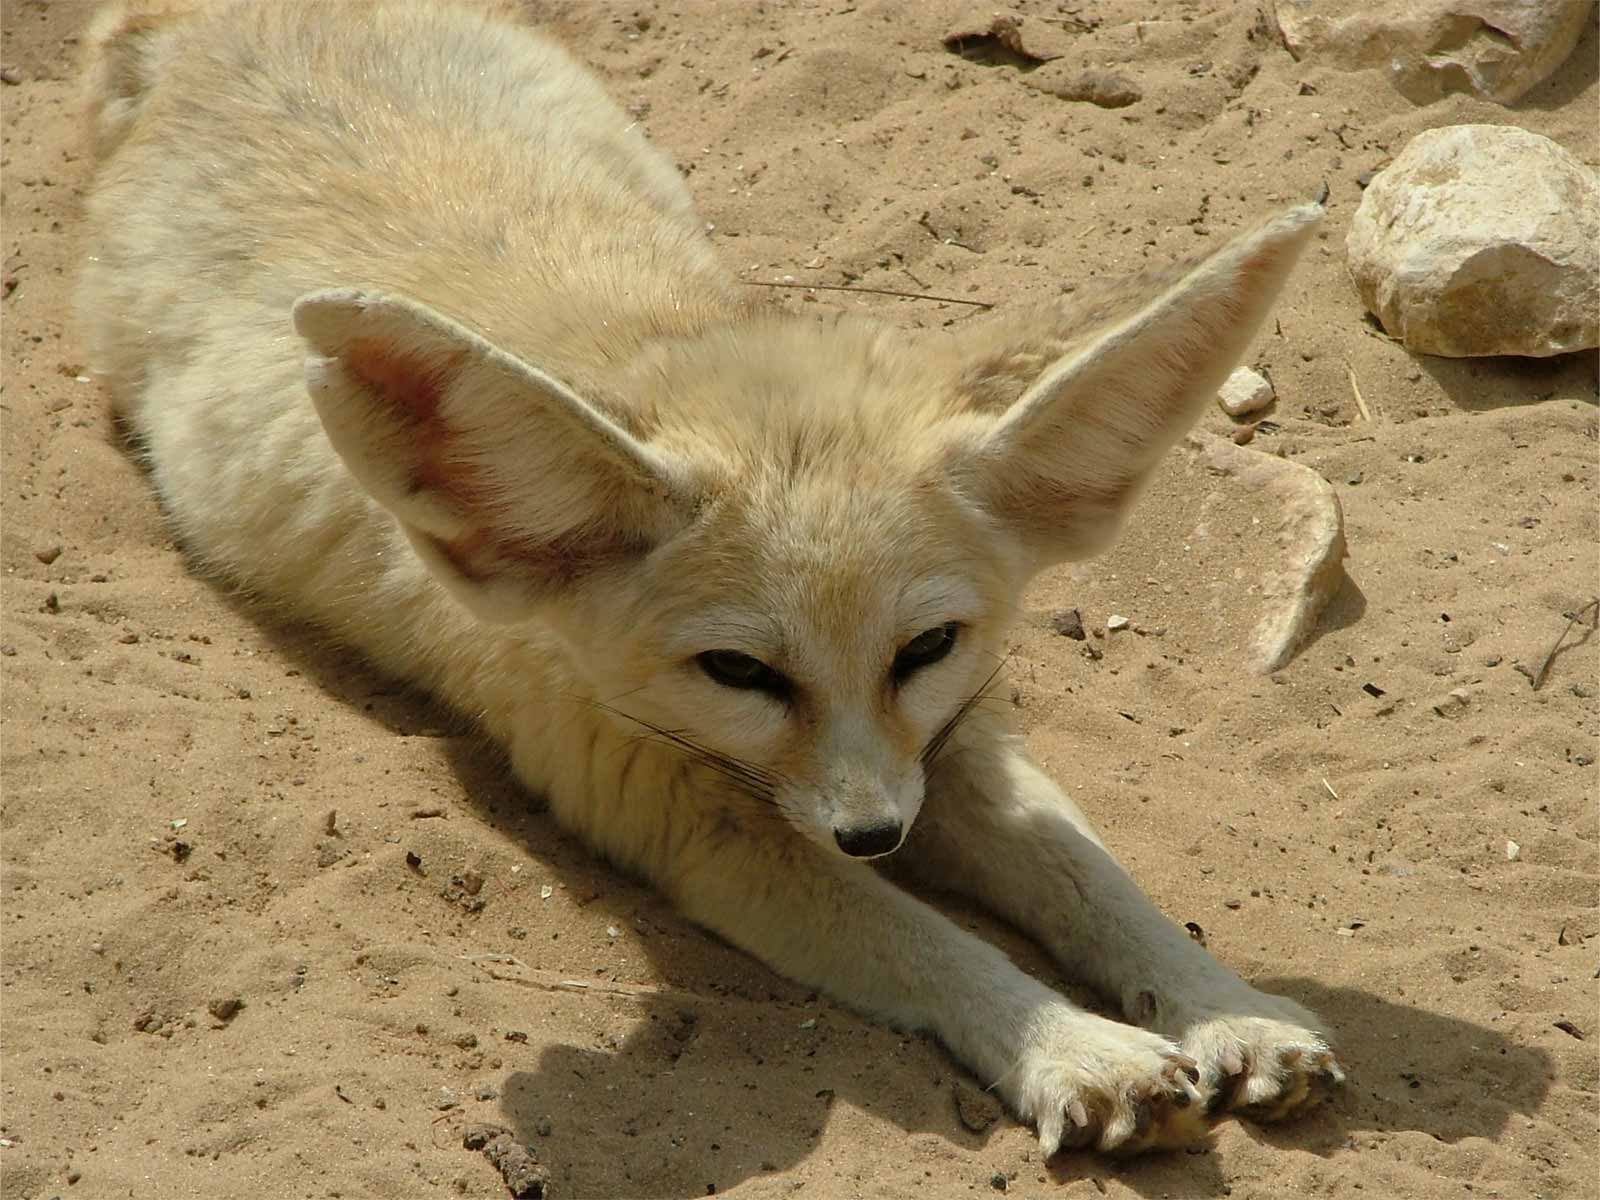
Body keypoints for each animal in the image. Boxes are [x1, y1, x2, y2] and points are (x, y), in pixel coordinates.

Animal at [77, 0, 1343, 1156]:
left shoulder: (948, 741)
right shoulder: (687, 815)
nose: (875, 835)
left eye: (925, 649)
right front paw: (1072, 1045)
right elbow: (929, 940)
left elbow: (1090, 876)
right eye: (737, 672)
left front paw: (1226, 1008)